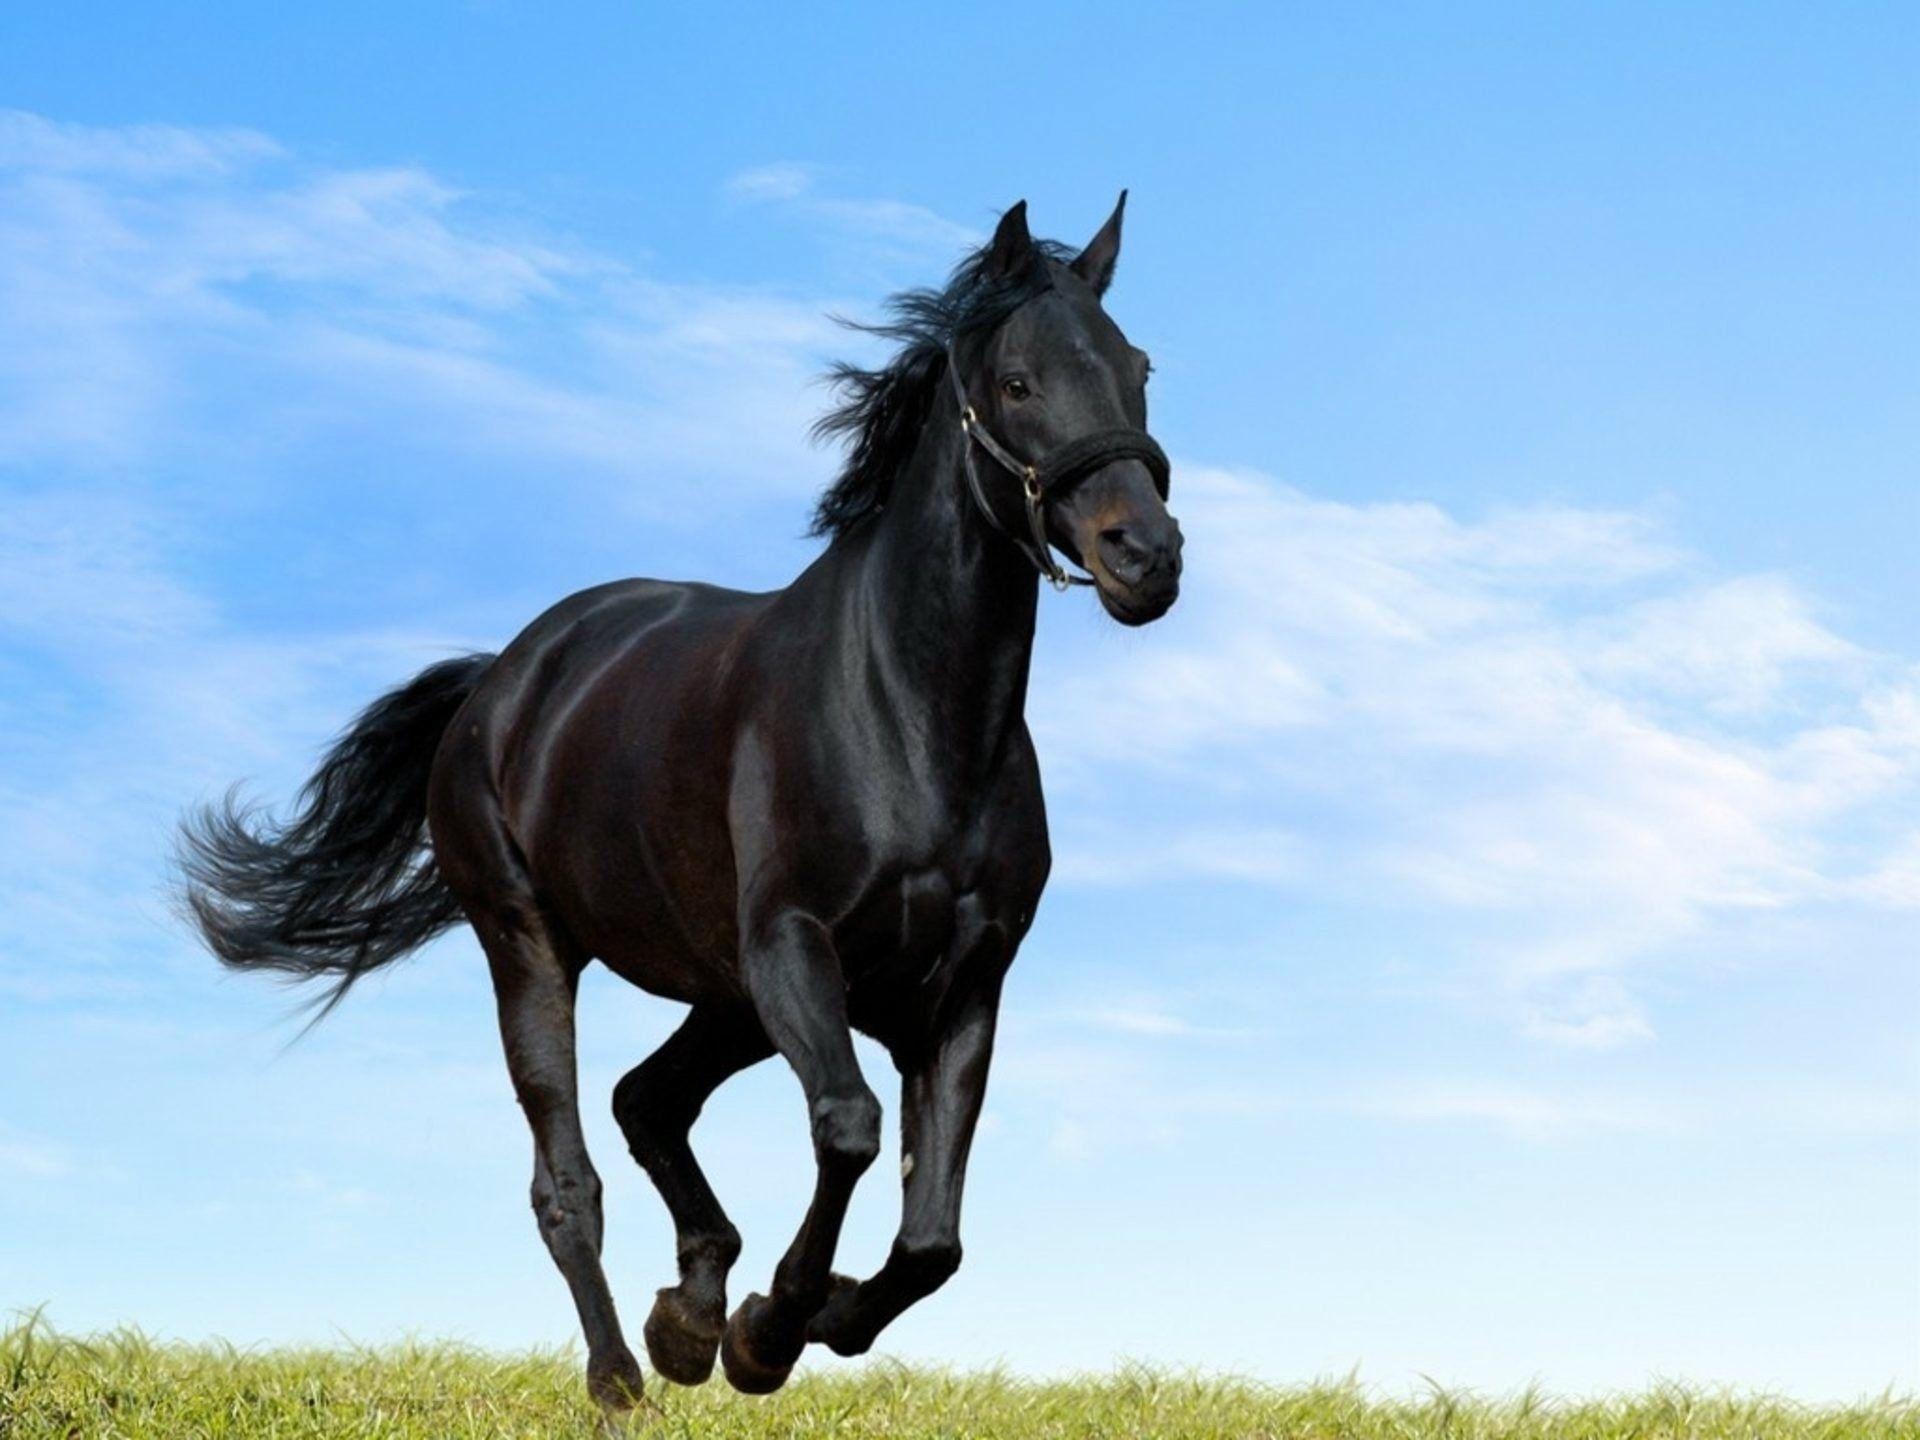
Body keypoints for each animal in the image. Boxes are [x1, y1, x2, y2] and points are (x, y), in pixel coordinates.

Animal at [179, 194, 1182, 1410]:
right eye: (1020, 381)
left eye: (1138, 368)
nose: (1147, 555)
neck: (910, 717)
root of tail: (504, 680)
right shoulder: (794, 947)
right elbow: (850, 1130)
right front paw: (770, 1330)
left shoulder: (962, 989)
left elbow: (932, 1239)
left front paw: (790, 1319)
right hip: (535, 947)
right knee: (569, 1178)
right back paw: (626, 1374)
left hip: (724, 995)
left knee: (645, 1101)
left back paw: (688, 1314)